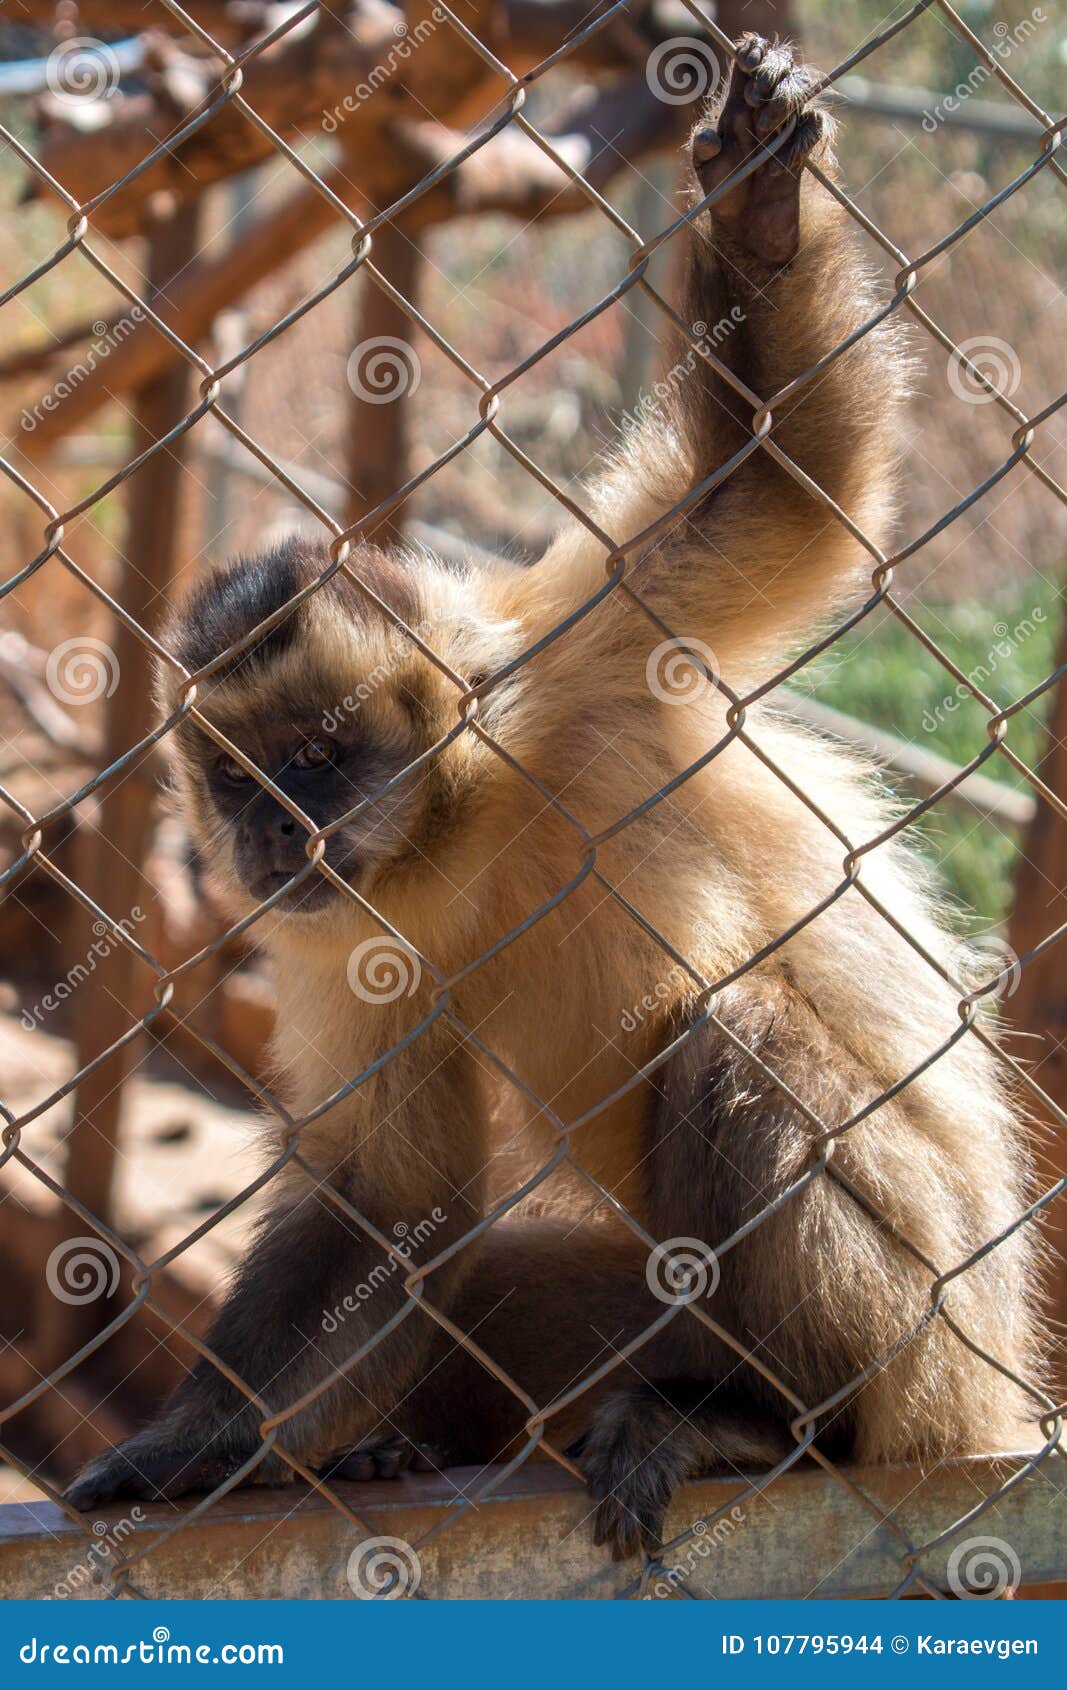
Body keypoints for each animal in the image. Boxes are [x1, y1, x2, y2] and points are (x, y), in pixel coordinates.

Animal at [64, 37, 1044, 1562]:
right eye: (233, 778)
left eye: (319, 758)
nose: (264, 828)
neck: (456, 826)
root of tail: (991, 1394)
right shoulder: (335, 917)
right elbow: (393, 1208)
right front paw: (196, 1446)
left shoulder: (576, 663)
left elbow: (774, 494)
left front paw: (758, 221)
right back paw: (398, 1448)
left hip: (933, 1356)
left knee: (736, 1029)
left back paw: (761, 1422)